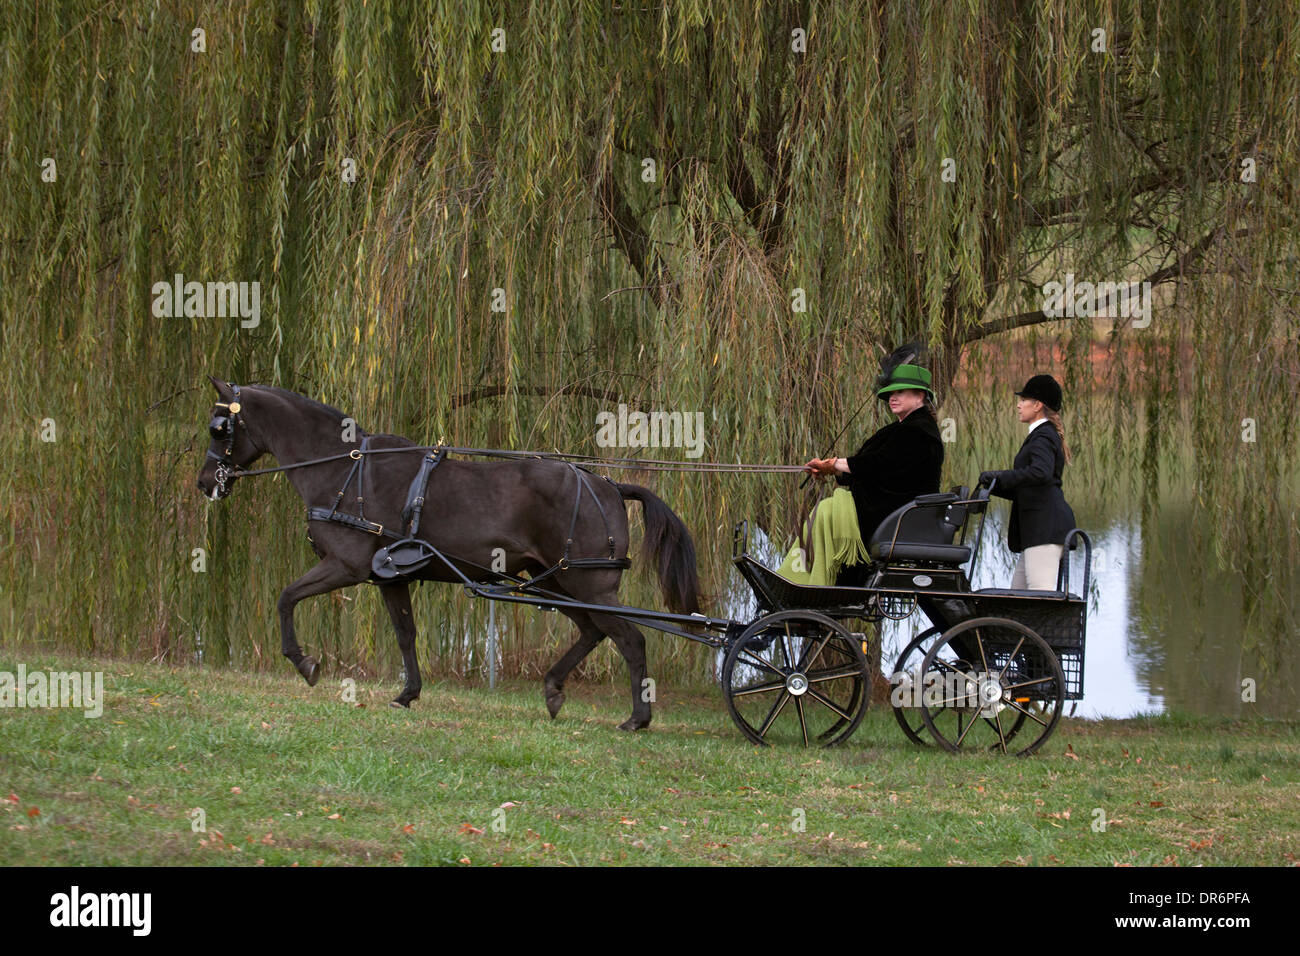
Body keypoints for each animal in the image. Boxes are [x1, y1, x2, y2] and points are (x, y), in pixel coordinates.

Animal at [194, 377, 701, 730]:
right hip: (558, 581)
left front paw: (304, 663)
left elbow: (286, 597)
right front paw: (407, 693)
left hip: (588, 583)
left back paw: (637, 718)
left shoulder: (345, 565)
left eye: (220, 428)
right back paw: (554, 689)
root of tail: (609, 484)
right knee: (593, 632)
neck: (343, 470)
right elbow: (406, 635)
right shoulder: (390, 576)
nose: (204, 482)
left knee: (630, 640)